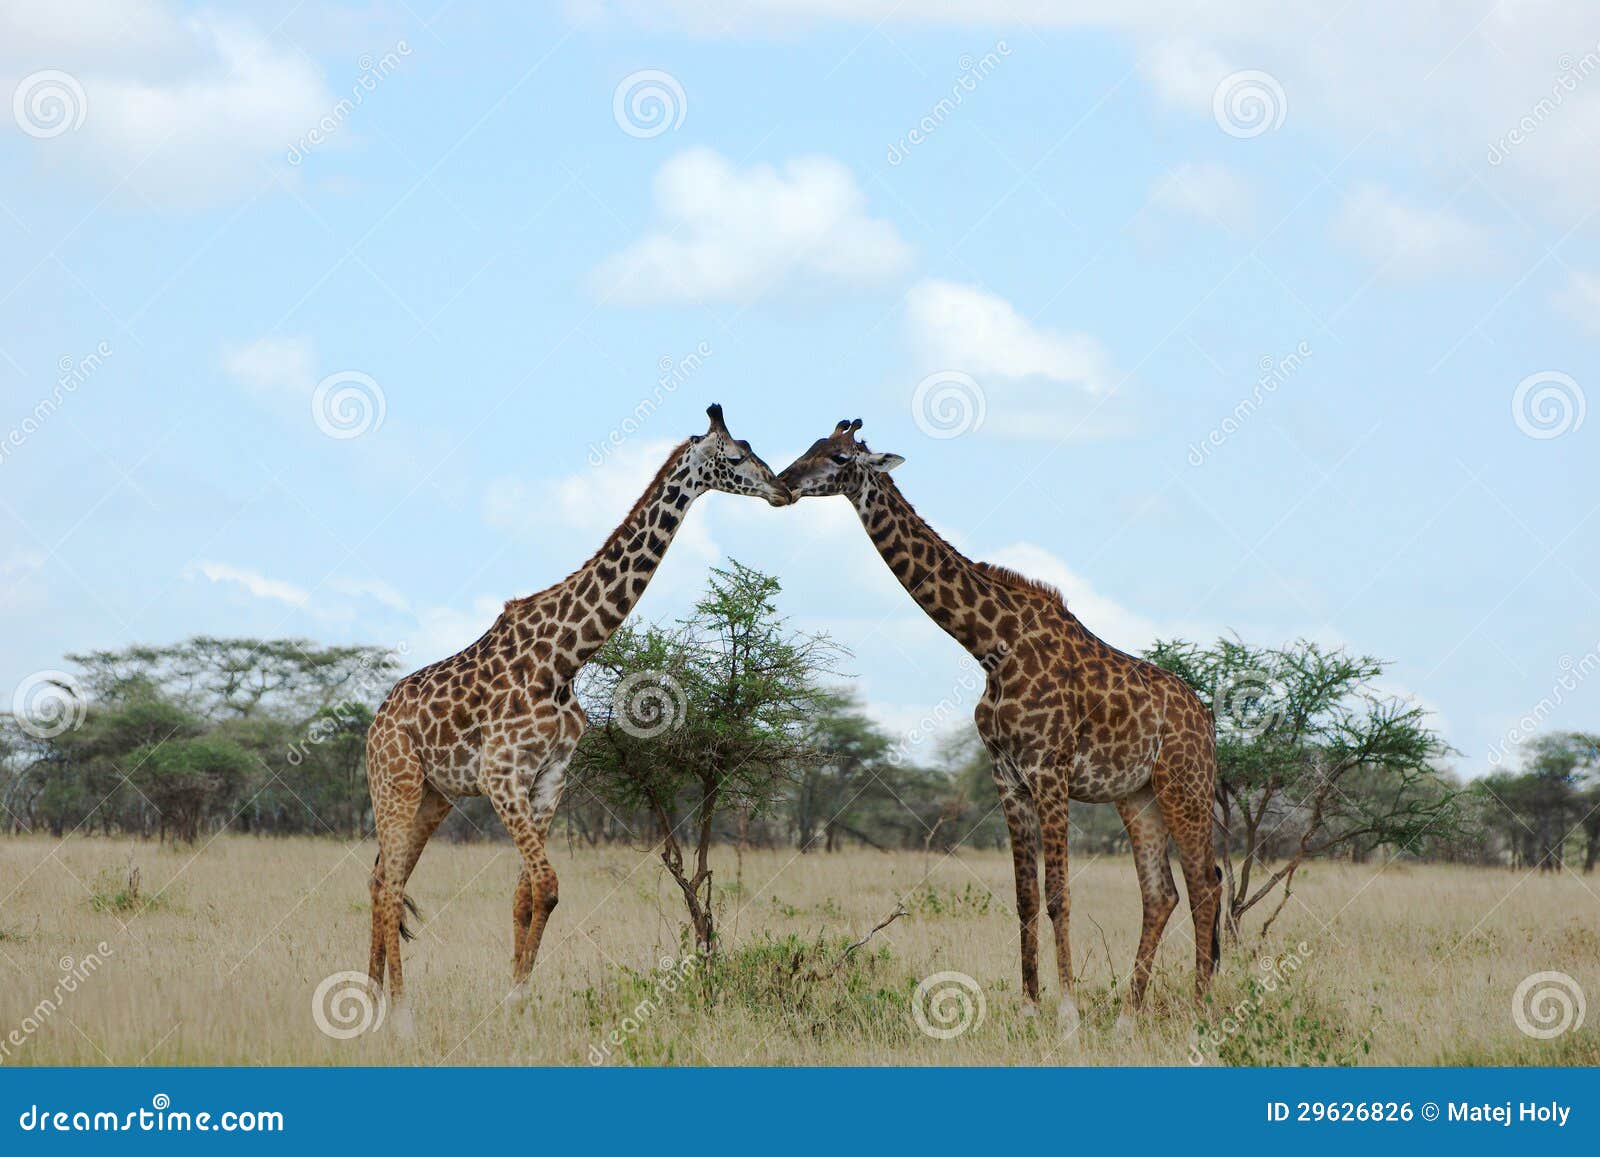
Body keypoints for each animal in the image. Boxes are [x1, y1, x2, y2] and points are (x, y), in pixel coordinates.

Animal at [364, 404, 789, 1029]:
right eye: (736, 456)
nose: (783, 489)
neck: (565, 657)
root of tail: (375, 721)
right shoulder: (501, 774)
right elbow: (548, 885)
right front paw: (513, 997)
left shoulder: (549, 777)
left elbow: (529, 893)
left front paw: (516, 999)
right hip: (395, 782)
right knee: (391, 884)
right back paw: (398, 1012)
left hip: (432, 797)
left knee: (381, 879)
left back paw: (369, 994)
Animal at [776, 420, 1220, 1038]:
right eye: (811, 446)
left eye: (840, 457)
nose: (784, 481)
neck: (990, 645)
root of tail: (1206, 718)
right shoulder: (1007, 775)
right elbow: (1025, 896)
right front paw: (1033, 1006)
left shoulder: (1049, 770)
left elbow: (1058, 895)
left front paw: (1068, 1014)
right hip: (1138, 795)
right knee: (1162, 894)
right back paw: (1128, 1018)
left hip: (1185, 784)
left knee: (1206, 883)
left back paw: (1200, 1011)